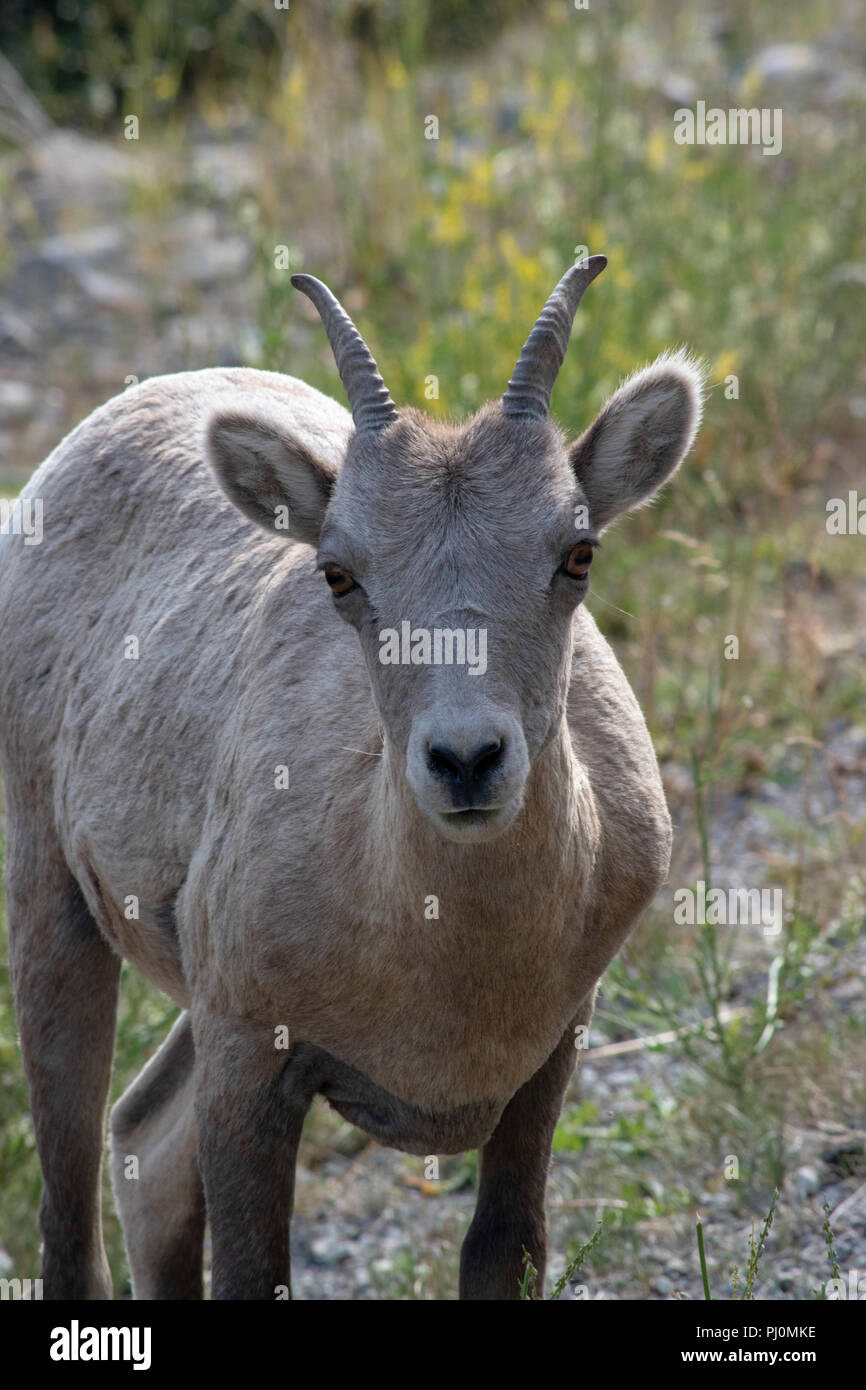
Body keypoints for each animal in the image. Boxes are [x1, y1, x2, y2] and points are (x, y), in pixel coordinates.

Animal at [0, 257, 703, 1299]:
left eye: (577, 553)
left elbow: (504, 1252)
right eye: (339, 574)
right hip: (54, 908)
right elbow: (252, 1272)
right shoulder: (251, 1064)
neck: (450, 958)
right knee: (74, 1208)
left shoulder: (547, 1062)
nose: (466, 760)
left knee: (146, 1147)